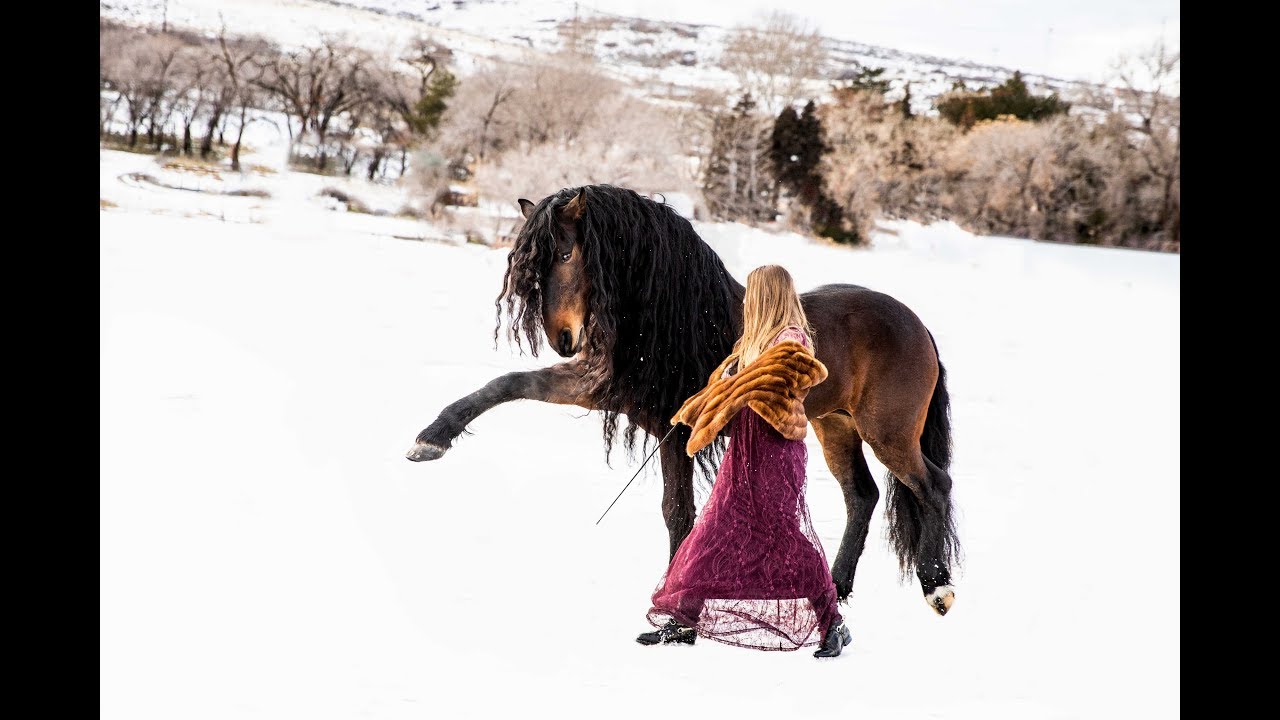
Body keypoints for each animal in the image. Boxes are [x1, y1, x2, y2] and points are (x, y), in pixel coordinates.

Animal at [406, 185, 961, 615]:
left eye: (565, 255)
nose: (563, 339)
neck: (673, 316)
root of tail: (918, 326)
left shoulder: (673, 427)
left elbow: (679, 513)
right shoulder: (614, 395)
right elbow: (508, 385)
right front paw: (432, 438)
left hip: (887, 432)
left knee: (934, 485)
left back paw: (936, 586)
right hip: (837, 426)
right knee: (862, 496)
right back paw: (837, 588)